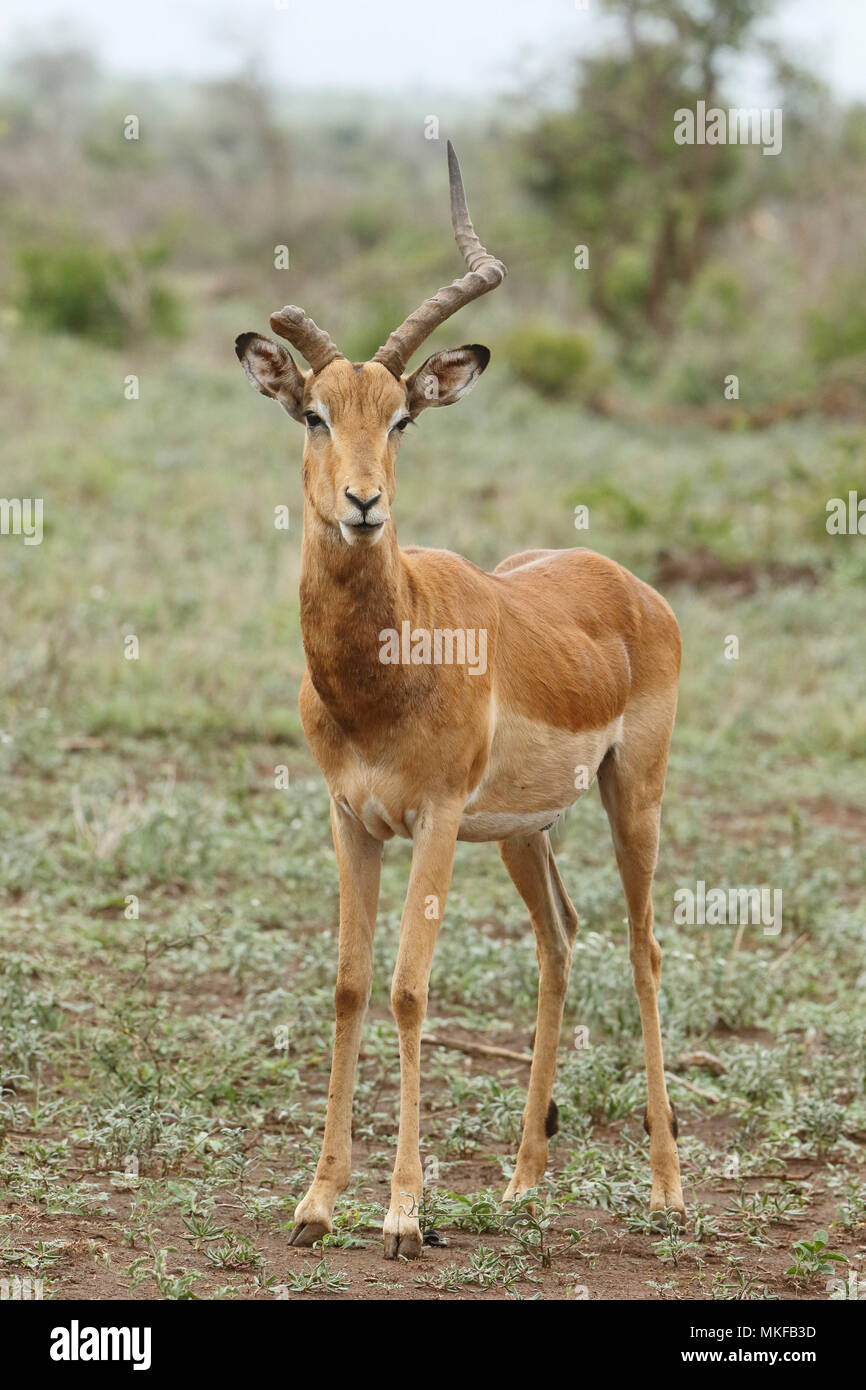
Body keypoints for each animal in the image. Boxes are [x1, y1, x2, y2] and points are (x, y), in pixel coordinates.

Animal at [235, 142, 685, 1259]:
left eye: (401, 416)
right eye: (314, 412)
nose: (363, 504)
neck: (381, 673)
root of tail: (628, 583)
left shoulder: (433, 819)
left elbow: (407, 989)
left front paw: (401, 1212)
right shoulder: (351, 818)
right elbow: (349, 986)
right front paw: (317, 1203)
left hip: (633, 795)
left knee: (644, 948)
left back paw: (668, 1189)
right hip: (524, 830)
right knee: (560, 941)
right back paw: (523, 1182)